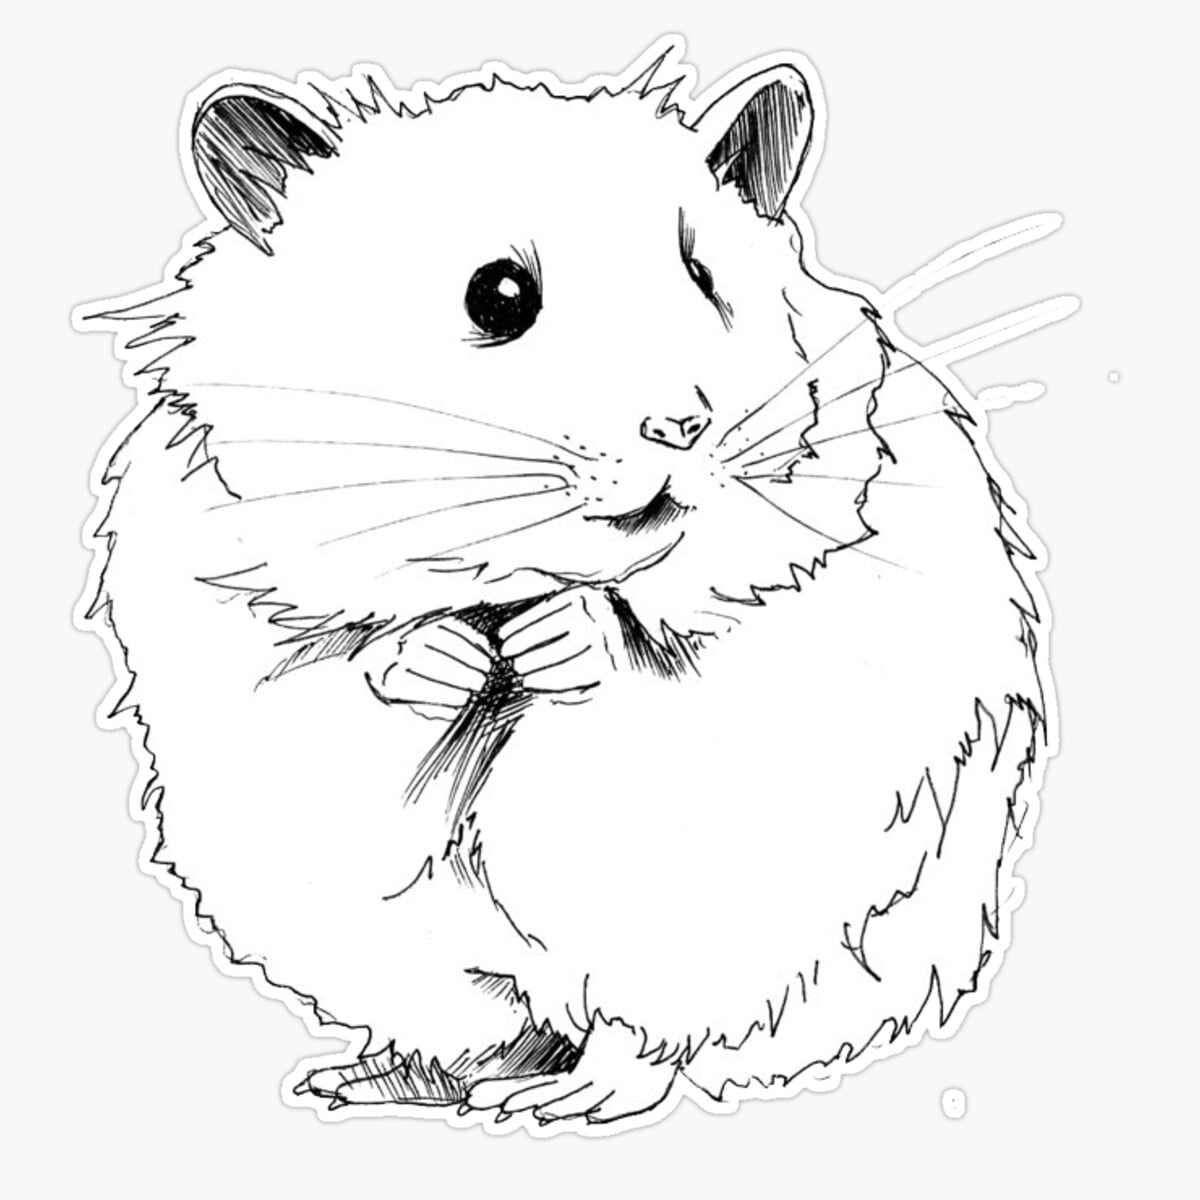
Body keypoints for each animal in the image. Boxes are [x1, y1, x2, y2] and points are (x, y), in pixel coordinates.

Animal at [76, 43, 1049, 1132]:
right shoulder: (234, 577)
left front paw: (563, 640)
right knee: (474, 1020)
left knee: (639, 1030)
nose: (684, 429)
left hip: (699, 918)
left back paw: (556, 1100)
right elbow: (344, 647)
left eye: (704, 275)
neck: (509, 570)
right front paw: (445, 657)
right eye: (498, 295)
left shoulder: (822, 533)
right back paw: (370, 1079)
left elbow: (686, 616)